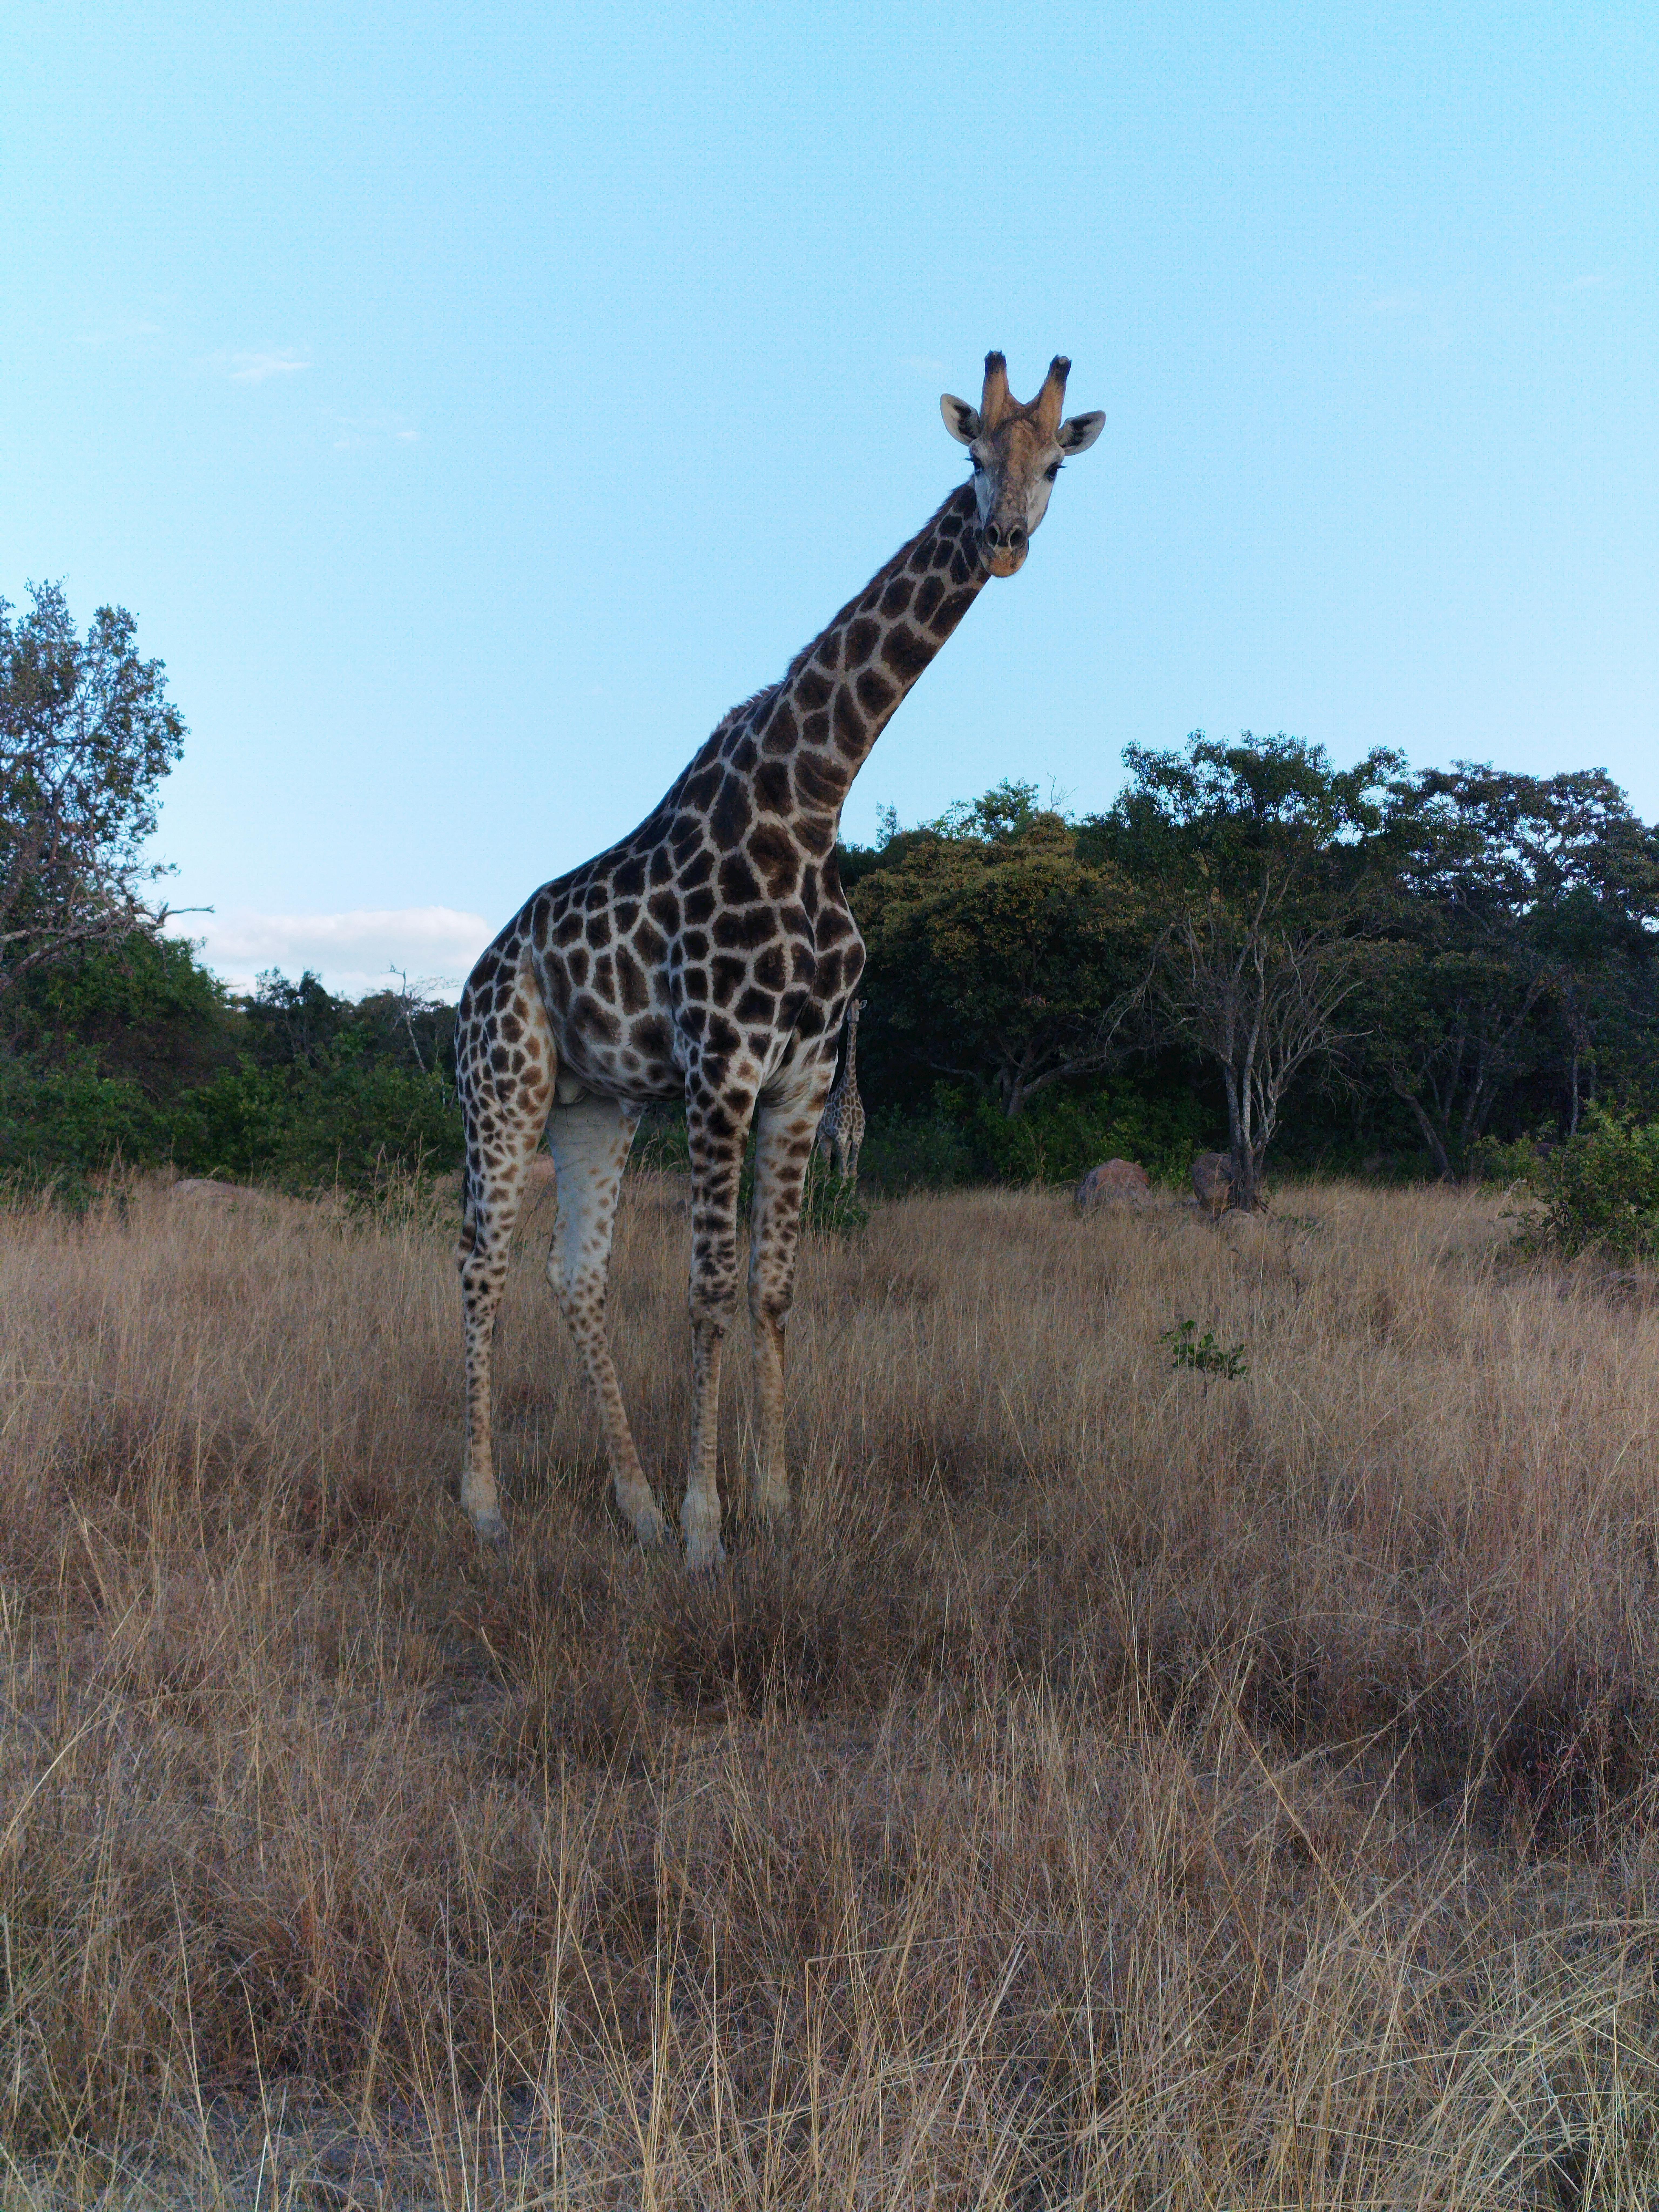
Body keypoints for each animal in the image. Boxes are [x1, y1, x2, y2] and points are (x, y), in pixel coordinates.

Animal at [815, 998, 866, 1185]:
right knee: (825, 1170)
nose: (853, 1020)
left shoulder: (857, 1135)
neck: (850, 1088)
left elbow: (853, 1174)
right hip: (824, 1135)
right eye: (848, 1010)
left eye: (859, 1009)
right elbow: (843, 1175)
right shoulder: (840, 1134)